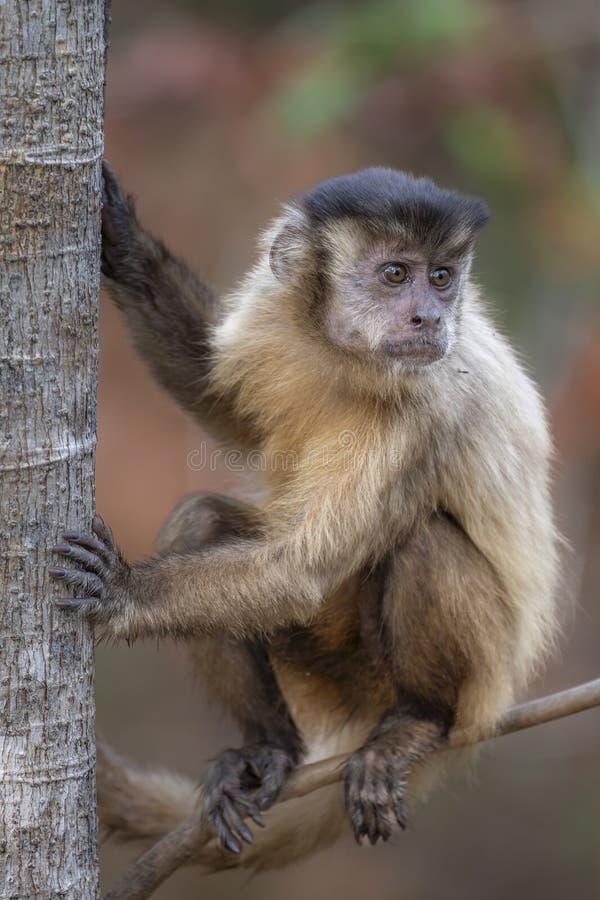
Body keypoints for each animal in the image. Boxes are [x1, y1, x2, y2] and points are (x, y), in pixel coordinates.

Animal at [49, 163, 558, 871]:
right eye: (395, 274)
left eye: (441, 276)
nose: (430, 315)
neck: (348, 359)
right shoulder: (278, 316)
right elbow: (217, 397)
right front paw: (120, 240)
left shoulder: (426, 401)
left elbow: (299, 574)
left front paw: (119, 593)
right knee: (200, 524)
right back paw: (270, 752)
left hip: (463, 683)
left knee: (421, 544)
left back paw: (417, 722)